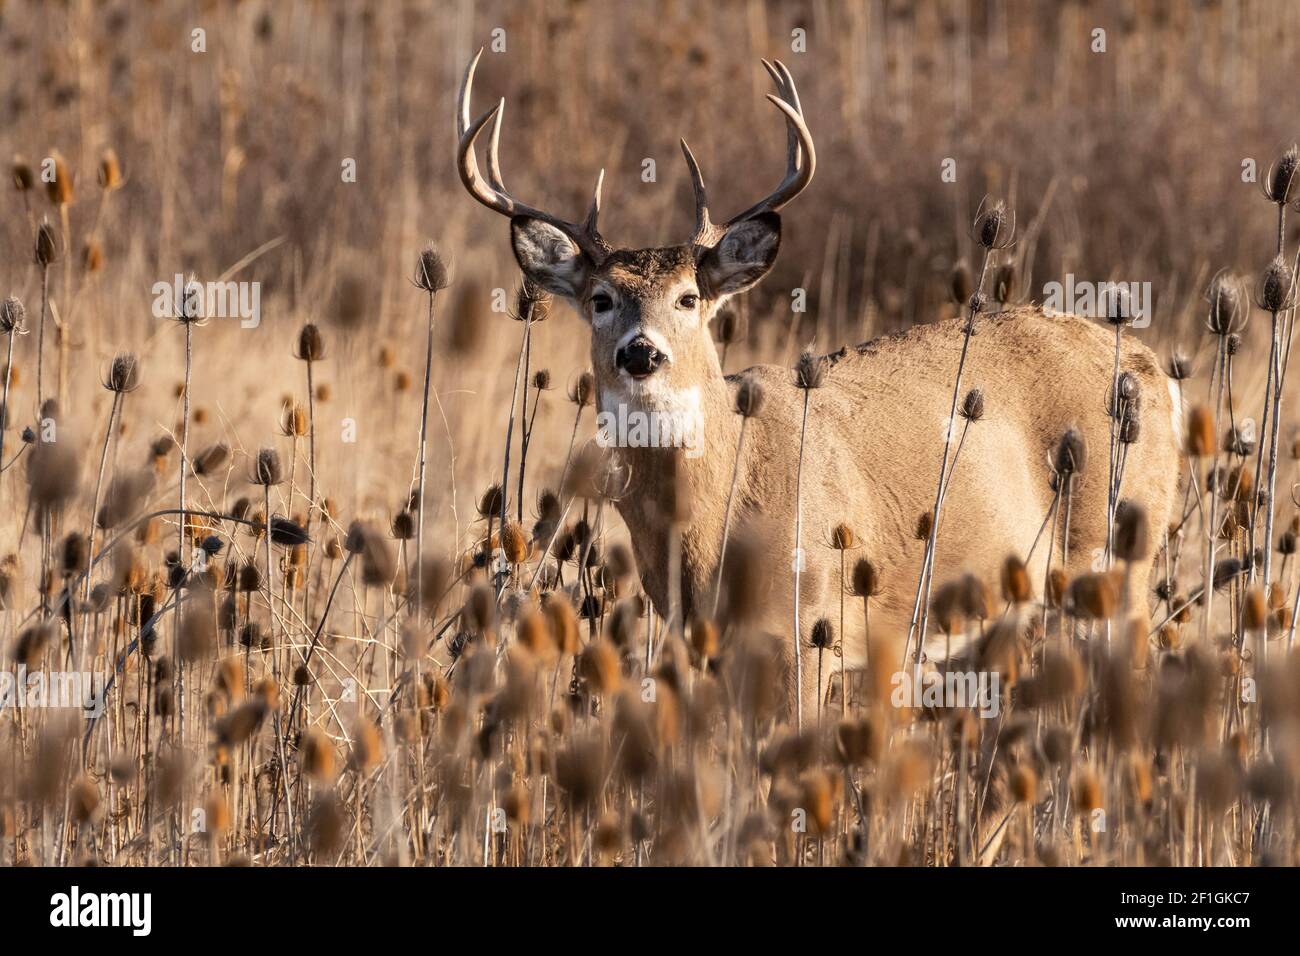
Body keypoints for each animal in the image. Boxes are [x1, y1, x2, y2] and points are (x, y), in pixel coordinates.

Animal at [454, 50, 1183, 724]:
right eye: (601, 300)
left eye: (689, 298)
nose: (641, 352)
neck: (715, 517)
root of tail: (1153, 365)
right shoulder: (701, 637)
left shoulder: (808, 623)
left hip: (1119, 547)